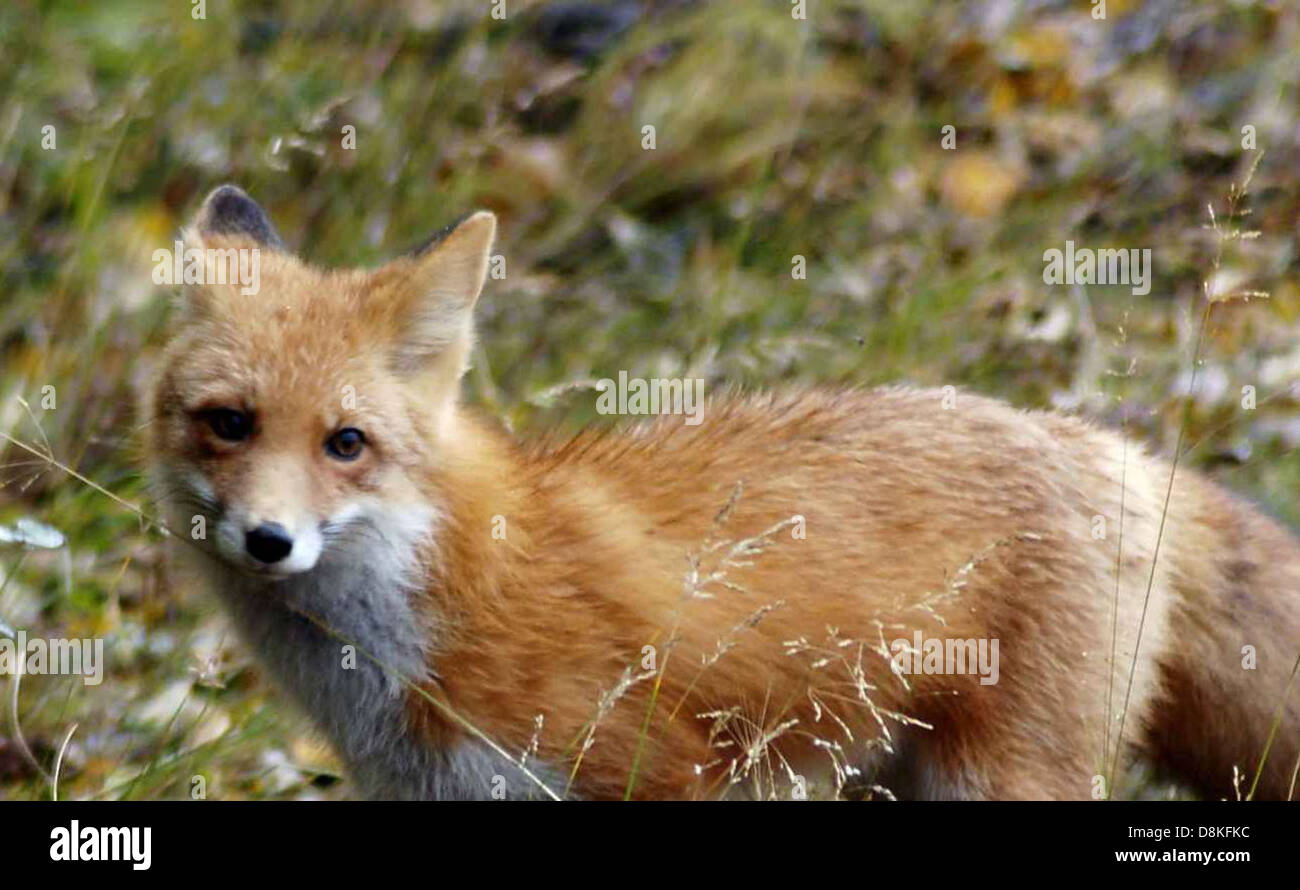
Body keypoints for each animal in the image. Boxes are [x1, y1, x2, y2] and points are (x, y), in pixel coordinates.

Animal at [144, 185, 1300, 801]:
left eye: (346, 443)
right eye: (229, 423)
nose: (267, 539)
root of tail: (1107, 446)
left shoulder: (660, 766)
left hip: (996, 779)